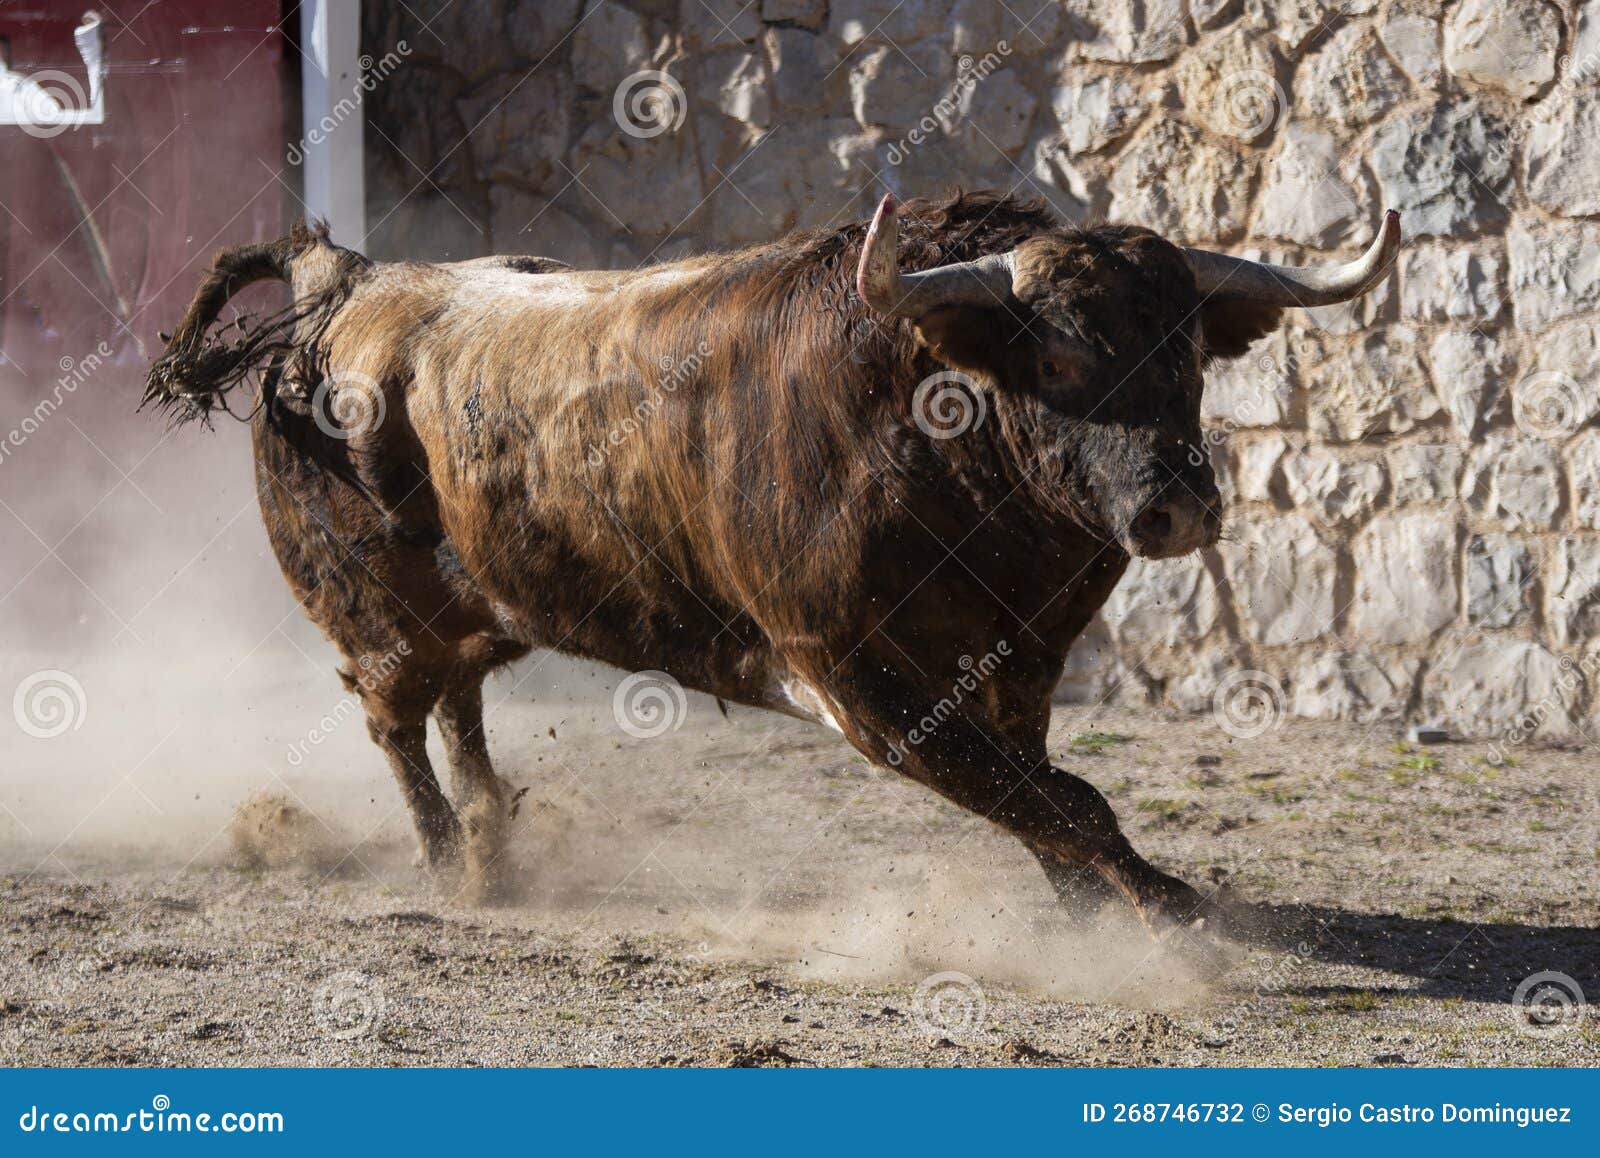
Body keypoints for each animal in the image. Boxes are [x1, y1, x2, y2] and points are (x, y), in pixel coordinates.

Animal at [145, 190, 1398, 930]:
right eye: (1056, 353)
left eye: (1185, 346)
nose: (1175, 506)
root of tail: (347, 282)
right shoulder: (854, 678)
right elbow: (1059, 797)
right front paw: (1167, 906)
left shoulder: (1018, 665)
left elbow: (1040, 788)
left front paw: (1089, 906)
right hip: (377, 621)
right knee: (396, 718)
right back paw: (458, 867)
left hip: (480, 608)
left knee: (459, 702)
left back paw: (497, 844)